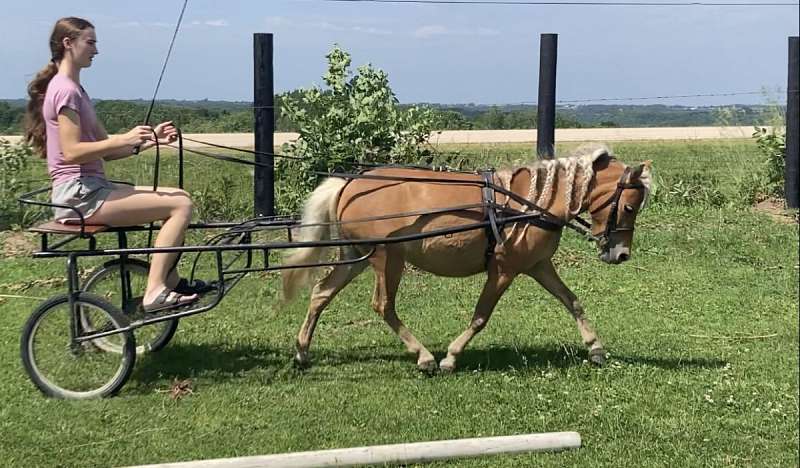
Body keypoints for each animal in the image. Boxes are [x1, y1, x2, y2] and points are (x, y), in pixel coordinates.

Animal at [281, 144, 652, 372]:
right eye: (629, 206)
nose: (621, 254)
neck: (528, 203)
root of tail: (349, 184)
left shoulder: (537, 265)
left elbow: (572, 301)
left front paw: (595, 348)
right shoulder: (503, 269)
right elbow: (480, 317)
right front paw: (451, 357)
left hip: (358, 255)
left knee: (322, 293)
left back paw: (301, 351)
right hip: (388, 258)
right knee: (382, 306)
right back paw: (424, 357)